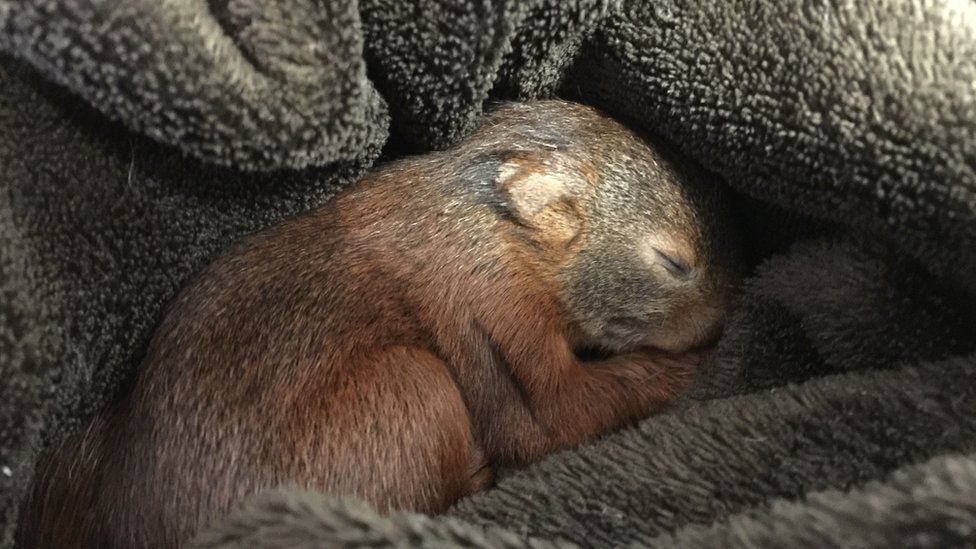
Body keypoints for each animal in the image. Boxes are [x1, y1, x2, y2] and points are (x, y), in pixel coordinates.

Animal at [18, 100, 742, 548]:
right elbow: (559, 414)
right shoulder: (499, 314)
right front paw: (687, 367)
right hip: (418, 384)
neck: (495, 225)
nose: (725, 313)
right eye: (674, 261)